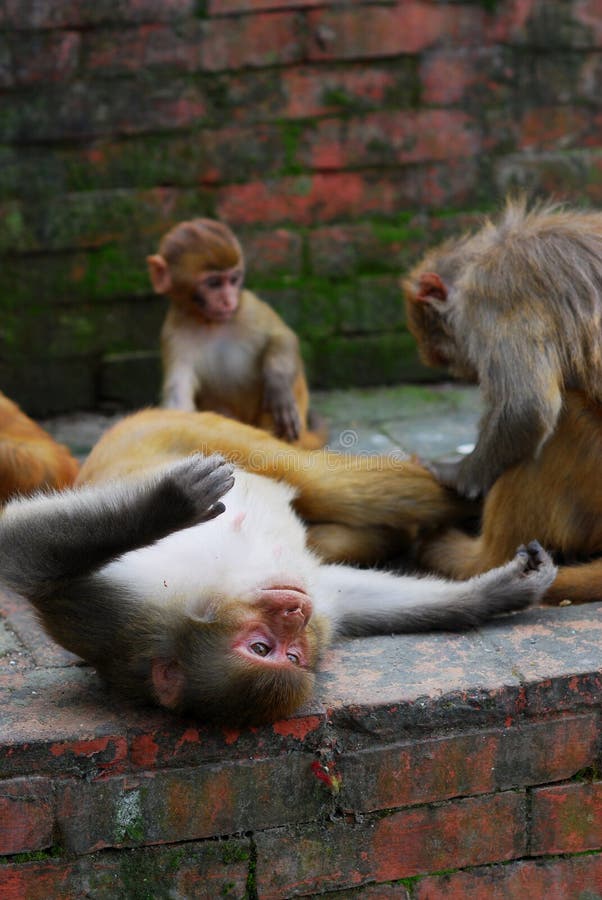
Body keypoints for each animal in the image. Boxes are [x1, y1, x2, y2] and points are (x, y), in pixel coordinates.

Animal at [0, 409, 555, 725]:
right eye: (270, 651)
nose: (296, 614)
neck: (200, 600)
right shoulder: (116, 629)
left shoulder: (118, 607)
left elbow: (19, 553)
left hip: (193, 430)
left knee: (328, 484)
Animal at [147, 218, 327, 450]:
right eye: (214, 283)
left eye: (233, 279)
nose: (228, 300)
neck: (209, 322)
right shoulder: (173, 334)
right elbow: (178, 392)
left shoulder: (247, 307)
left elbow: (282, 336)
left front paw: (278, 384)